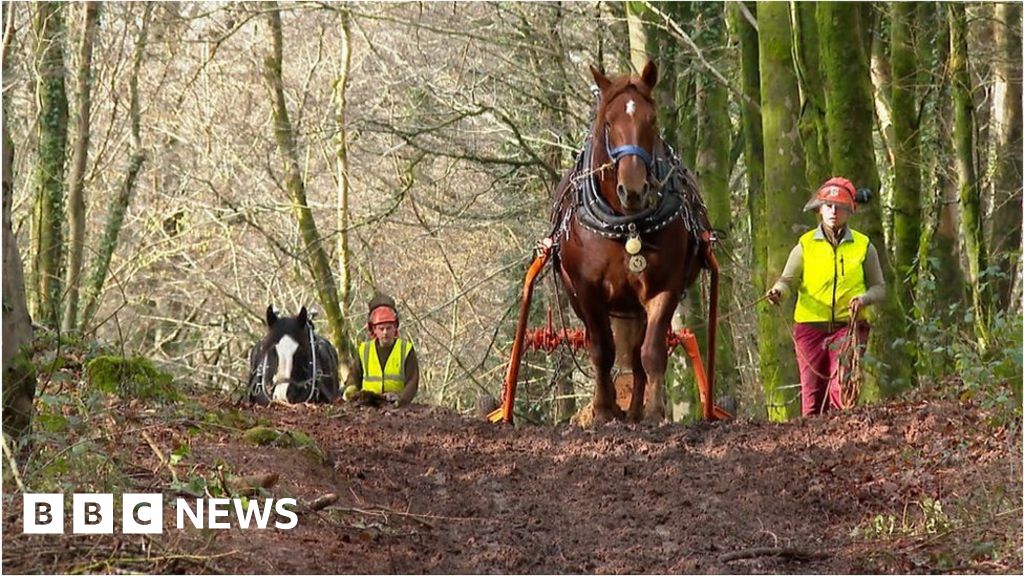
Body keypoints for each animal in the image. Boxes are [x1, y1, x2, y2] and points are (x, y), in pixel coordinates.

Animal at [550, 60, 716, 423]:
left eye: (651, 120)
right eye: (608, 122)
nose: (634, 189)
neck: (626, 227)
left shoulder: (663, 288)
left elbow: (650, 351)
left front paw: (653, 411)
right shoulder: (587, 291)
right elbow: (601, 349)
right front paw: (603, 409)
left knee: (637, 355)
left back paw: (636, 409)